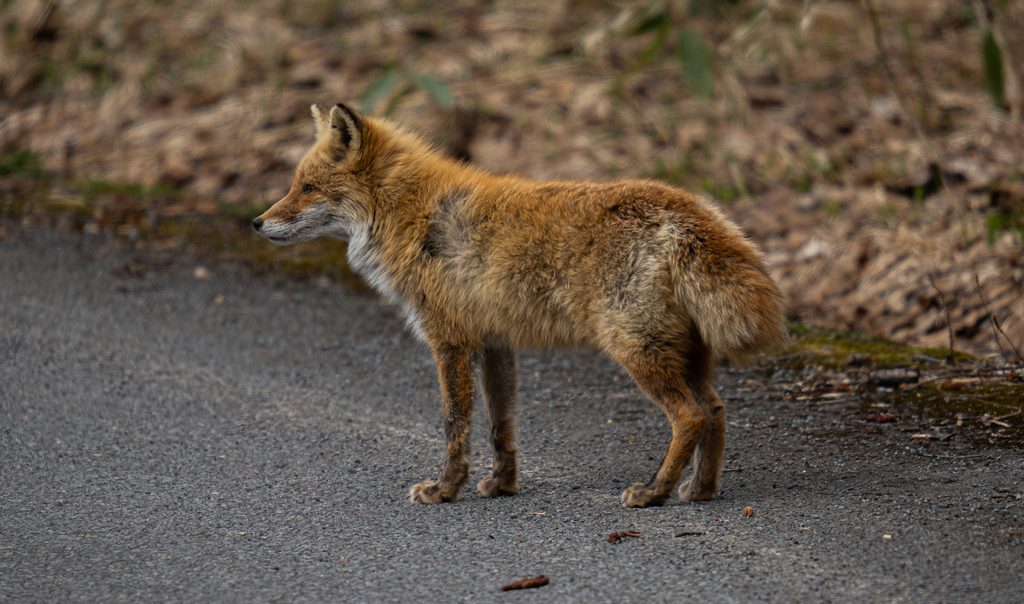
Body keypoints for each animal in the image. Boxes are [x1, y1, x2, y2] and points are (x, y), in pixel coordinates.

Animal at [253, 103, 787, 508]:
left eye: (307, 188)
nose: (256, 223)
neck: (412, 214)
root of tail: (691, 212)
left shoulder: (448, 340)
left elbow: (455, 424)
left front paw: (445, 490)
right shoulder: (494, 341)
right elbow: (500, 423)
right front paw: (502, 485)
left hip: (637, 351)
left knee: (690, 417)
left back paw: (654, 491)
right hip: (685, 353)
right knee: (715, 411)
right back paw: (700, 489)